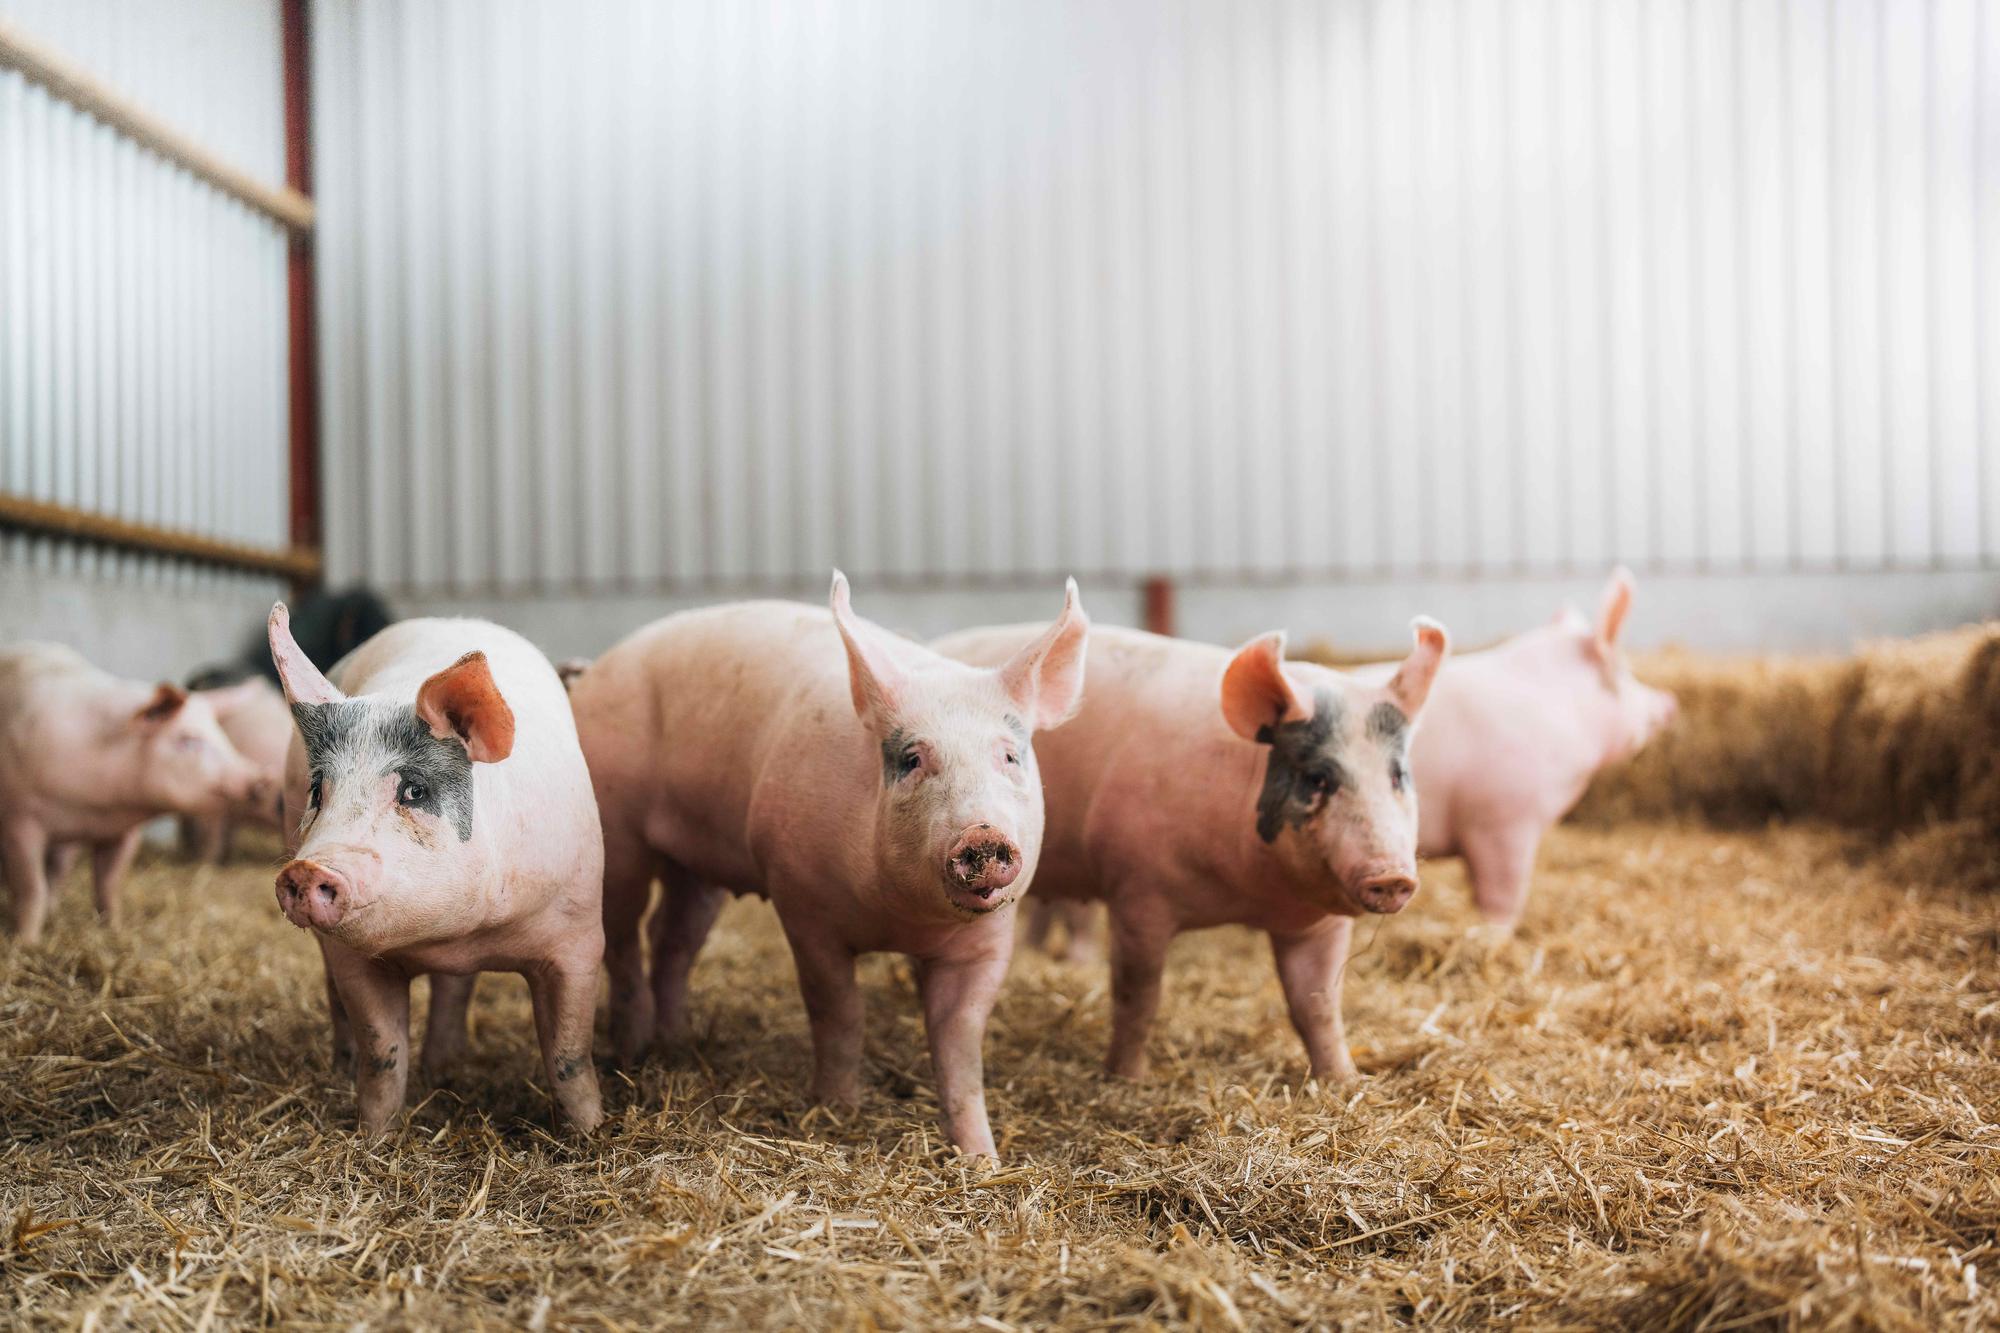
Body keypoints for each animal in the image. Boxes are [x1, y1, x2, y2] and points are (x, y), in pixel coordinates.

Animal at [0, 643, 269, 943]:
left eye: (222, 735)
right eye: (187, 739)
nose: (259, 777)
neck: (95, 808)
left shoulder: (124, 831)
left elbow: (109, 884)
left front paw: (114, 930)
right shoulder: (19, 820)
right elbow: (31, 887)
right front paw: (27, 943)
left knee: (58, 870)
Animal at [267, 606, 605, 1135]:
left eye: (414, 791)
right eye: (318, 791)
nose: (305, 869)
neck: (460, 935)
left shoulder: (579, 934)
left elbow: (569, 1056)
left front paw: (591, 1134)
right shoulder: (355, 960)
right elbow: (382, 1054)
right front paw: (374, 1137)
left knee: (455, 987)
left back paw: (447, 1068)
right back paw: (350, 1067)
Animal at [567, 574, 1088, 1159]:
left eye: (1009, 756)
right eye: (913, 759)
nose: (983, 834)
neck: (901, 922)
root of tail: (597, 670)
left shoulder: (989, 940)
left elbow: (960, 1041)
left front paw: (981, 1158)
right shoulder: (803, 905)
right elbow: (838, 1011)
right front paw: (838, 1110)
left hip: (697, 865)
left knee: (672, 937)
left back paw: (677, 1043)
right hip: (618, 833)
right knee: (623, 938)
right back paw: (633, 1052)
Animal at [933, 618, 1448, 1084]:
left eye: (1398, 775)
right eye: (1318, 778)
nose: (1393, 876)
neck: (1245, 896)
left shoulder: (1317, 923)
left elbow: (1318, 1005)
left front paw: (1344, 1083)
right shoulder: (1136, 893)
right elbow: (1138, 995)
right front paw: (1128, 1081)